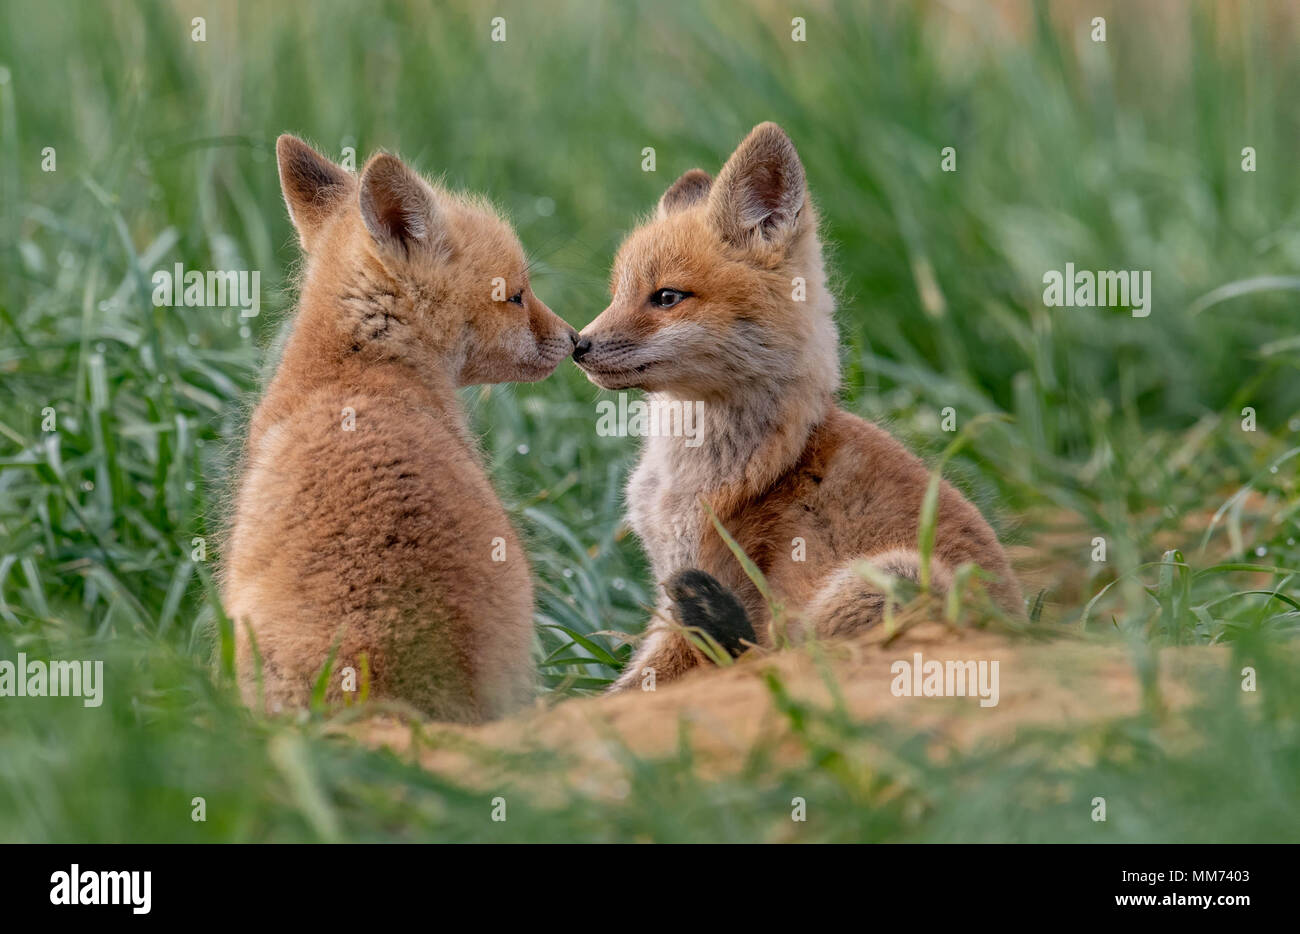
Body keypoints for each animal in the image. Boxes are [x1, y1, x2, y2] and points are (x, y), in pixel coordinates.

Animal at [574, 122, 1024, 692]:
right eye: (616, 294)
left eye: (667, 297)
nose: (577, 344)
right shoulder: (669, 586)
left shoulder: (706, 582)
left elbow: (628, 687)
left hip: (888, 579)